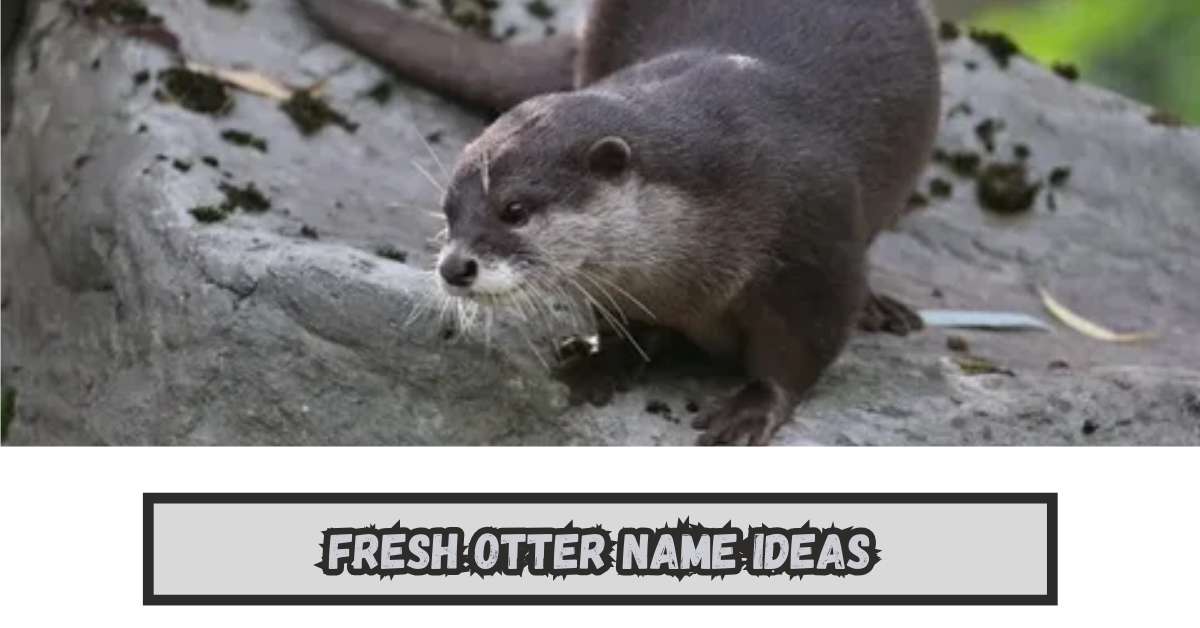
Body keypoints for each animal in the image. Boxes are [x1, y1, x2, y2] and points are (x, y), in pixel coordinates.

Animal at [299, 0, 941, 445]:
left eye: (515, 210)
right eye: (449, 211)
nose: (456, 267)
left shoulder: (814, 248)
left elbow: (802, 351)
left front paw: (751, 408)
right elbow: (628, 326)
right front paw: (603, 361)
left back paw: (884, 310)